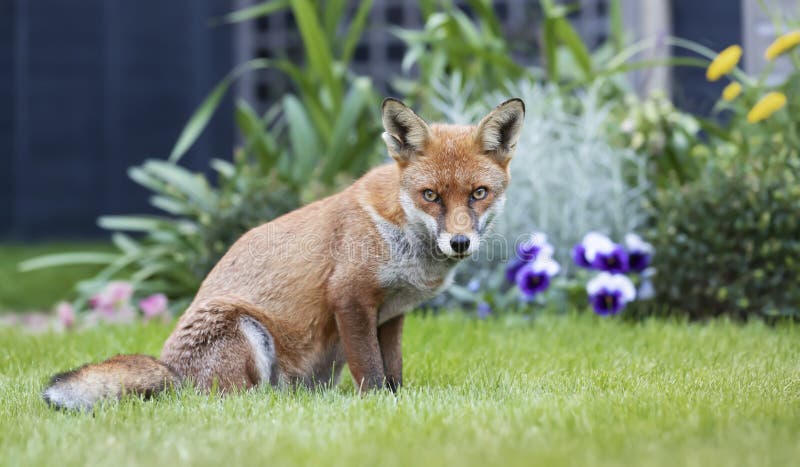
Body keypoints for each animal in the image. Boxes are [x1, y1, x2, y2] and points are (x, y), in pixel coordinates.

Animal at [42, 97, 525, 410]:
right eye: (430, 196)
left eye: (478, 193)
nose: (459, 243)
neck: (402, 235)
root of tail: (171, 372)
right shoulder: (349, 298)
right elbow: (371, 371)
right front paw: (375, 409)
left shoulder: (391, 313)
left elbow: (394, 373)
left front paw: (399, 403)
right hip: (245, 329)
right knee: (233, 402)